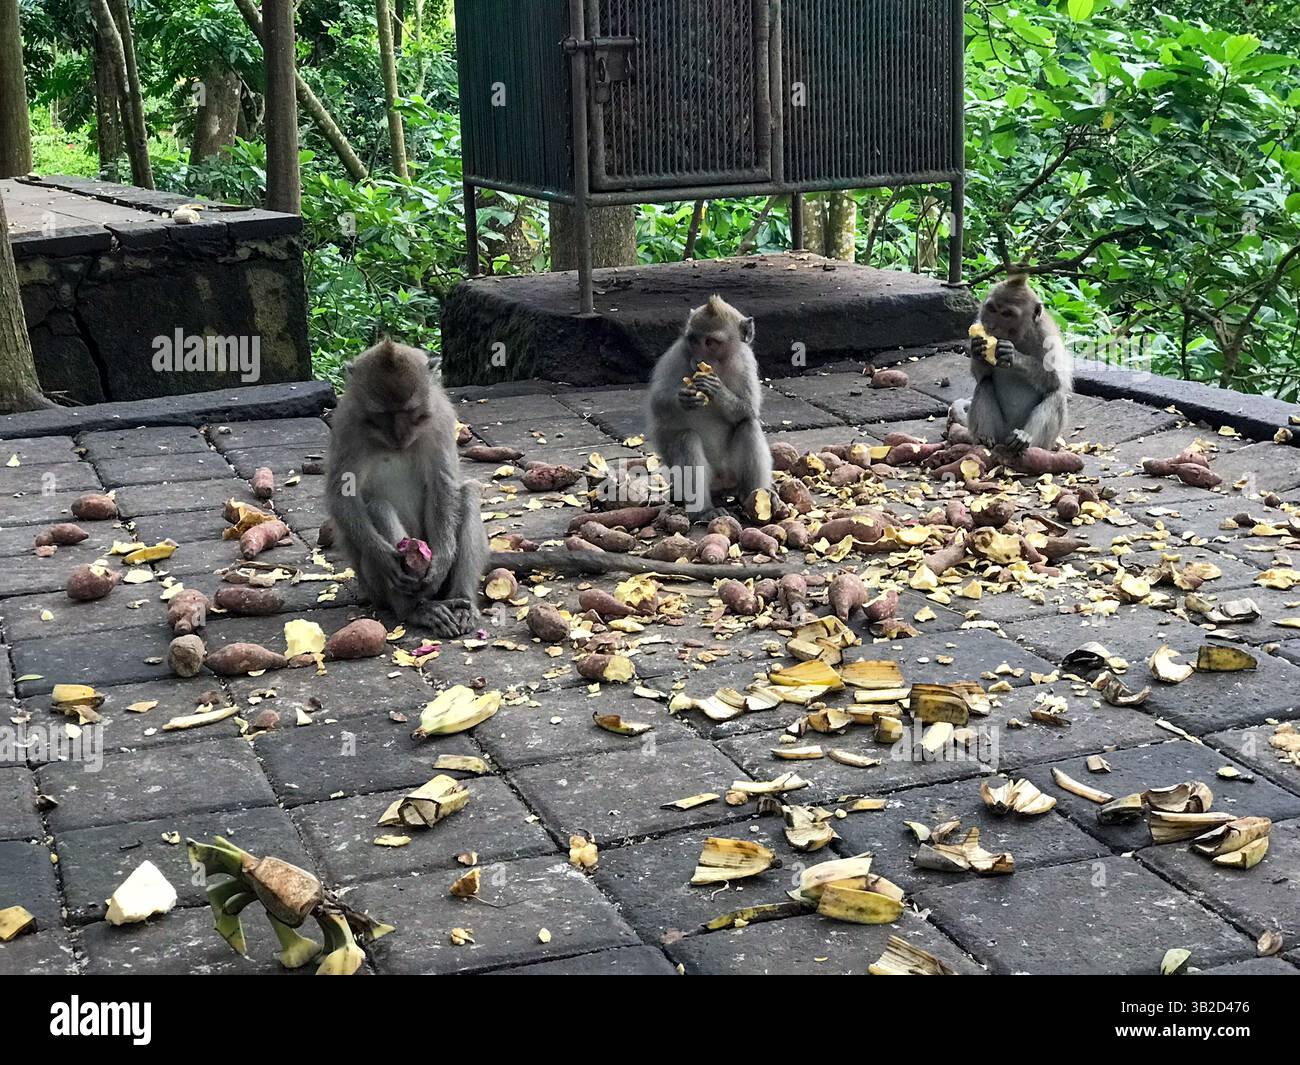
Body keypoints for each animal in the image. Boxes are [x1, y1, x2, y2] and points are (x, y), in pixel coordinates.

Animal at [327, 340, 488, 638]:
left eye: (410, 412)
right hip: (374, 589)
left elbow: (443, 483)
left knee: (468, 494)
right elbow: (341, 495)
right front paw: (383, 557)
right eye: (382, 414)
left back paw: (462, 601)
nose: (399, 436)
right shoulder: (346, 425)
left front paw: (441, 561)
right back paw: (417, 609)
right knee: (378, 507)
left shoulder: (442, 418)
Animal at [645, 295, 772, 519]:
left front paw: (717, 390)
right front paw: (683, 398)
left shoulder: (746, 361)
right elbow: (658, 405)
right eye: (693, 340)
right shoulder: (676, 355)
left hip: (731, 473)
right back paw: (703, 511)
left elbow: (749, 410)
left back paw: (755, 497)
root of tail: (722, 484)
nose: (698, 359)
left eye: (711, 342)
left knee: (748, 425)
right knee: (687, 439)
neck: (719, 367)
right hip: (688, 478)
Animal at [948, 275, 1072, 453]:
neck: (1019, 336)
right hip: (1000, 431)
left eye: (1007, 314)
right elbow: (982, 376)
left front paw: (1012, 355)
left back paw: (1024, 440)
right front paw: (978, 349)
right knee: (985, 384)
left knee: (1056, 397)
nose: (991, 326)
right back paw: (985, 439)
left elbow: (1057, 381)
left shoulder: (1047, 335)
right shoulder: (980, 321)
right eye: (992, 309)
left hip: (1042, 443)